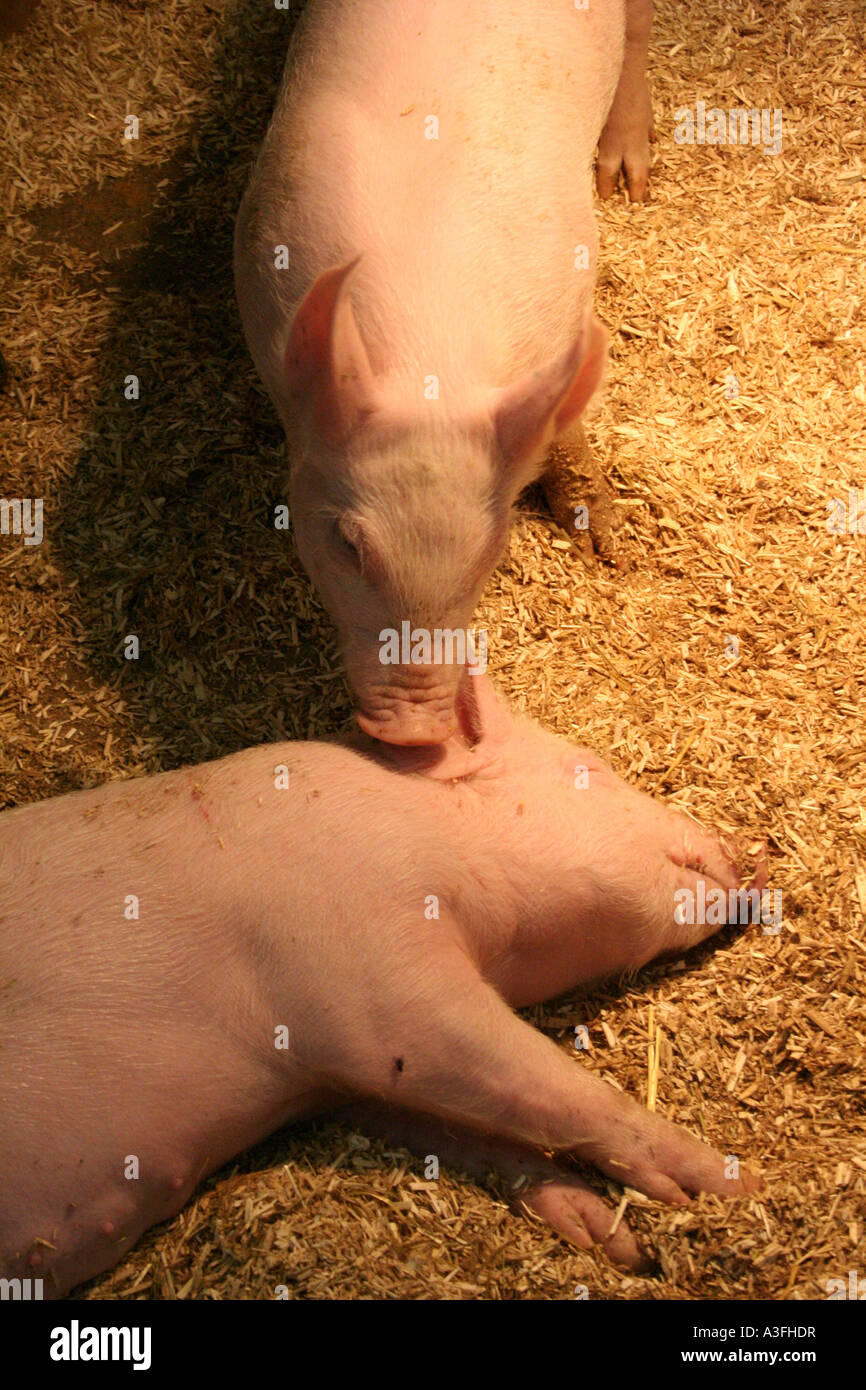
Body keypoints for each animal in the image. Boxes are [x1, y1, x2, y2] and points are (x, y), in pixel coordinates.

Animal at [0, 676, 763, 1297]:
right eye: (593, 772)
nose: (753, 858)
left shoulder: (331, 1082)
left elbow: (466, 1131)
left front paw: (624, 1248)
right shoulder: (376, 990)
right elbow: (565, 1092)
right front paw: (732, 1185)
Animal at [234, 0, 654, 748]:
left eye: (492, 552)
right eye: (347, 543)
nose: (418, 729)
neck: (426, 352)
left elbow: (566, 435)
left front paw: (608, 546)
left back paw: (626, 185)